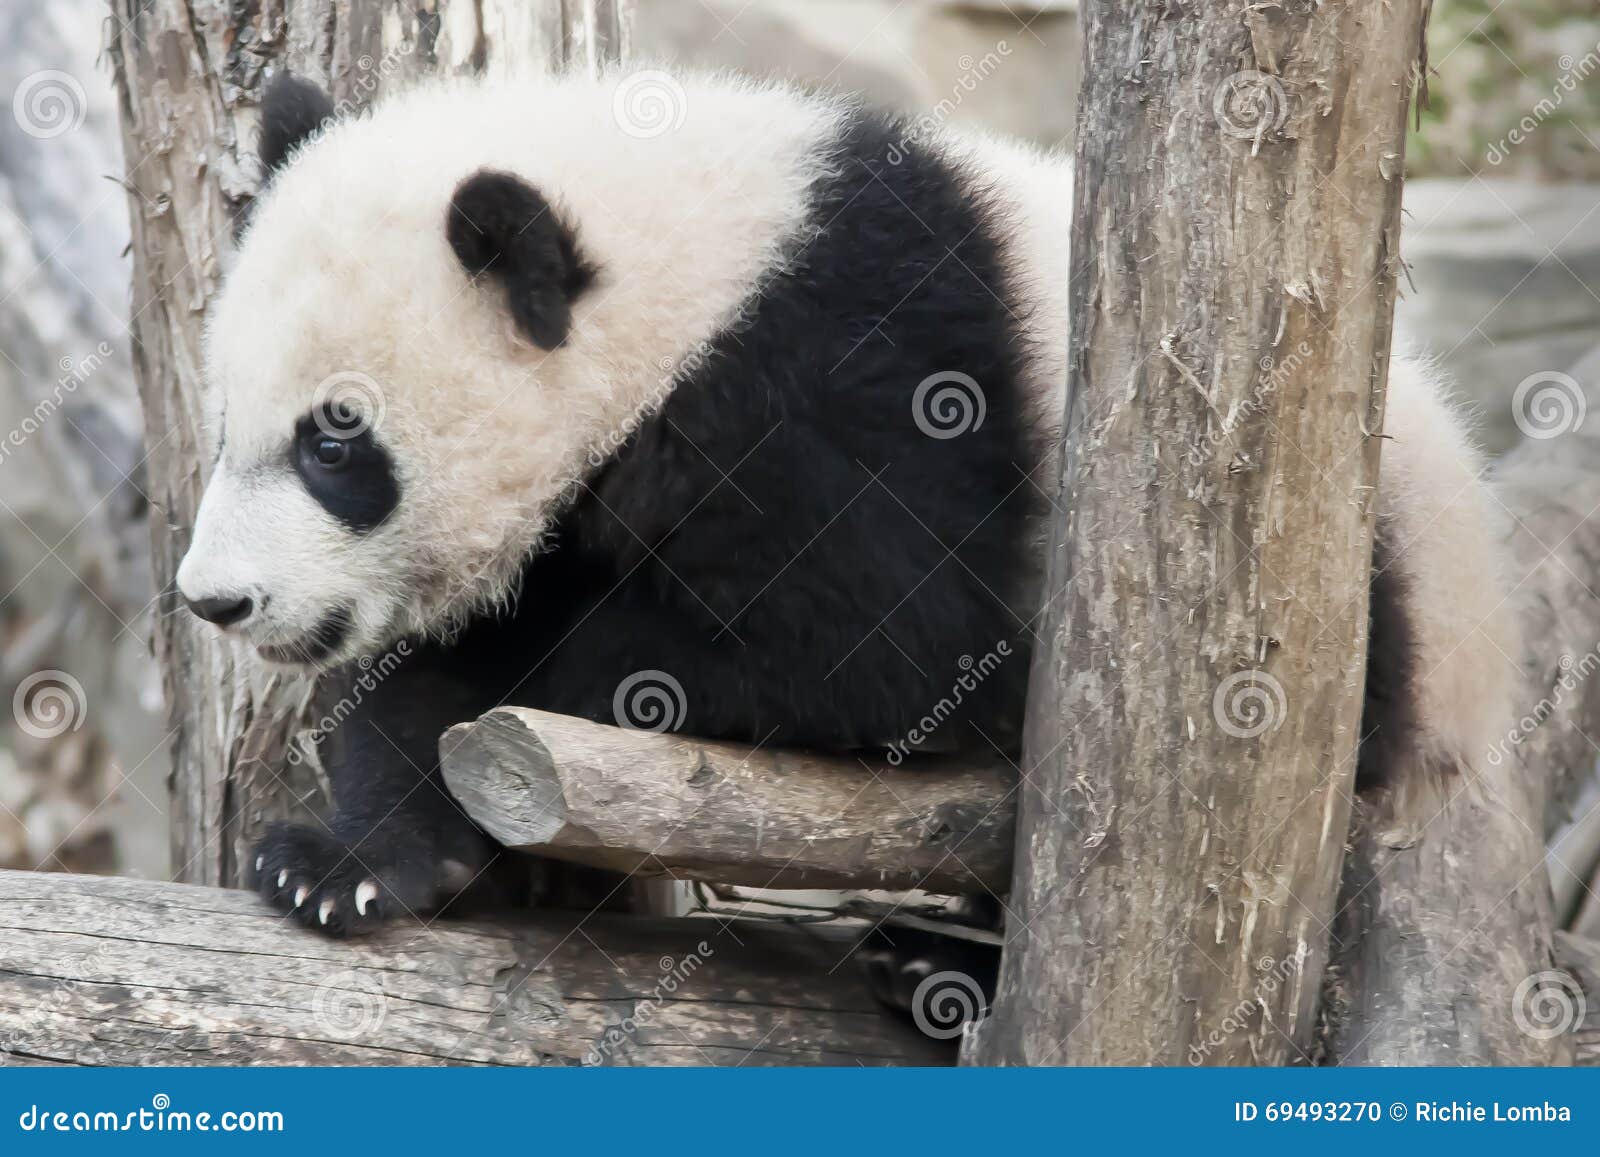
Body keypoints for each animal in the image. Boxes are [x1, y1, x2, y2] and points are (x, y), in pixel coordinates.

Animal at [176, 69, 1520, 952]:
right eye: (229, 424)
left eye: (335, 442)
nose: (217, 600)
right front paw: (351, 862)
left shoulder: (852, 381)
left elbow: (873, 642)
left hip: (1365, 610)